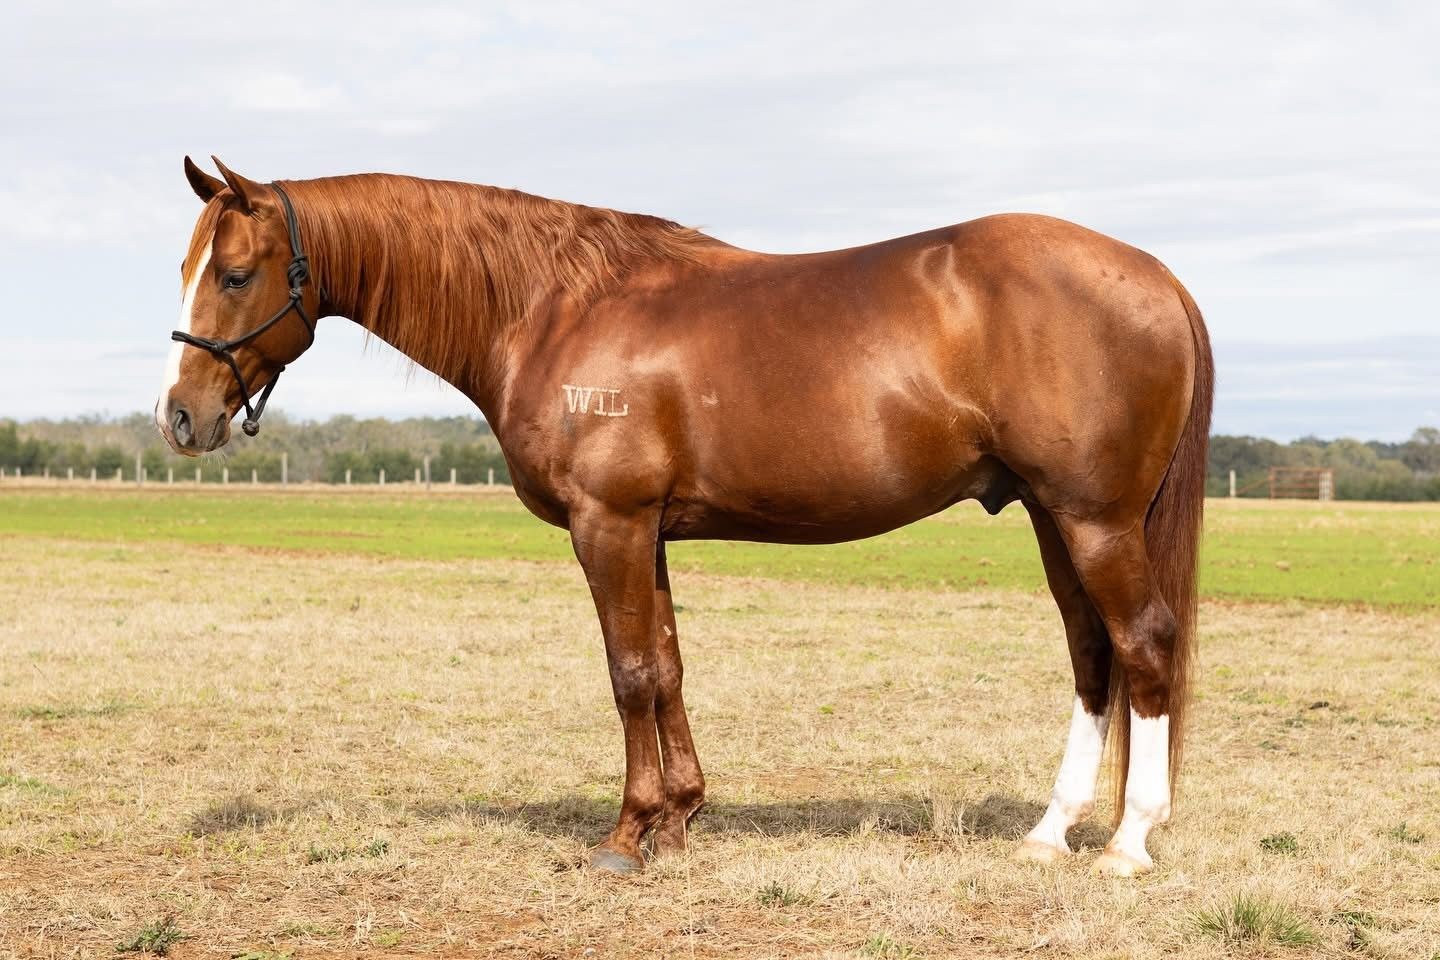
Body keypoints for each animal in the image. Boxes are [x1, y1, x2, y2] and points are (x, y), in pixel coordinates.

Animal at [158, 157, 1212, 877]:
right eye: (187, 268)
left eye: (237, 275)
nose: (181, 418)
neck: (555, 306)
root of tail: (1158, 277)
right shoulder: (649, 532)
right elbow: (665, 667)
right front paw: (679, 818)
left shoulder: (610, 525)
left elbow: (628, 674)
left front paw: (626, 835)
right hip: (1052, 518)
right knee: (1093, 654)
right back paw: (1049, 832)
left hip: (1095, 520)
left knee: (1145, 645)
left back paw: (1128, 842)